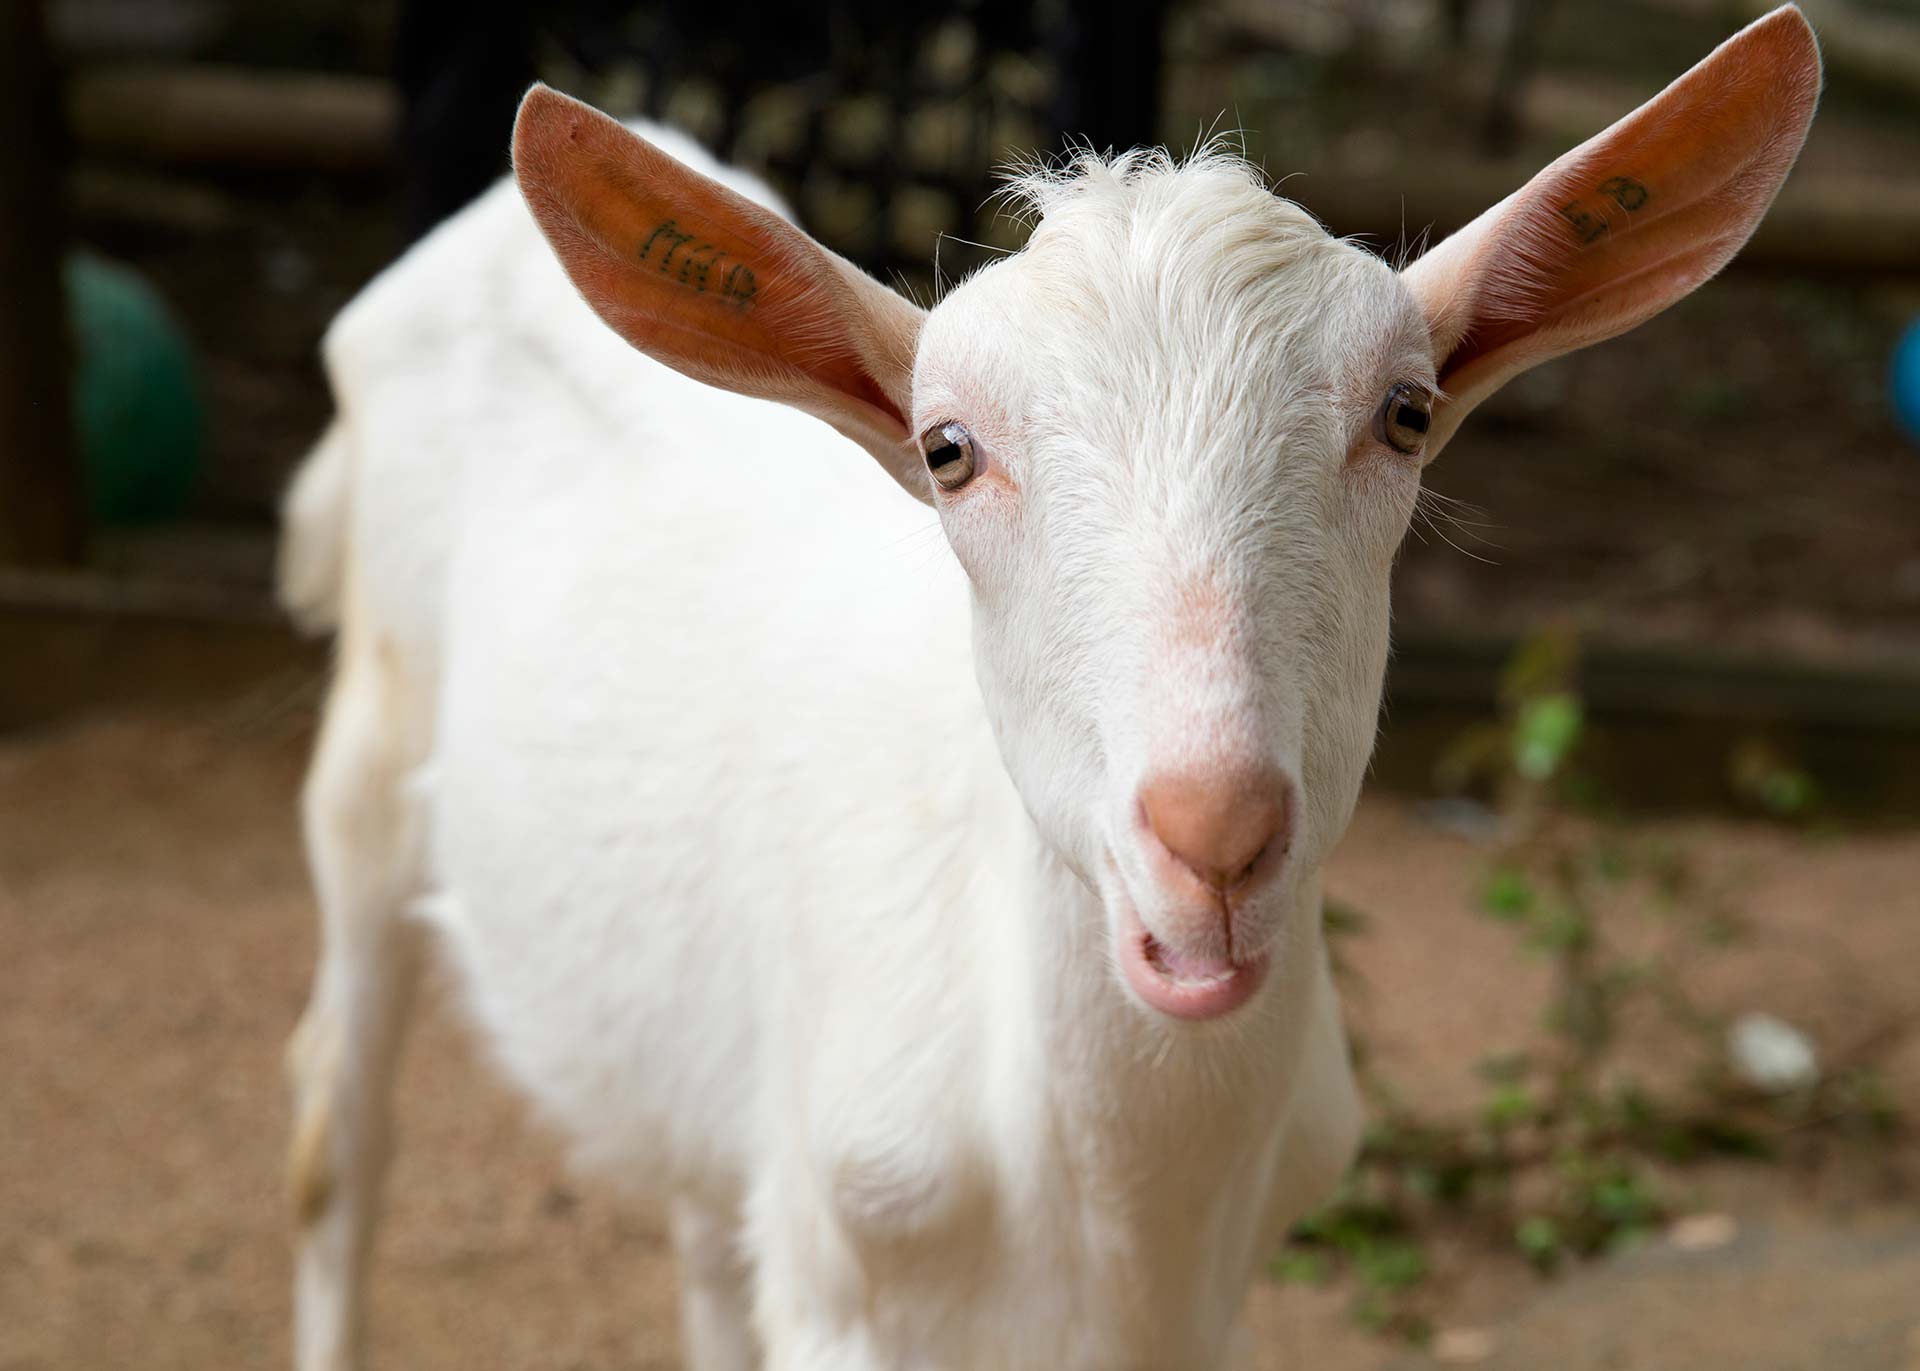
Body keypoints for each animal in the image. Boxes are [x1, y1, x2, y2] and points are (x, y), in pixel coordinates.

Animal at [282, 10, 1820, 1368]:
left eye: (1408, 413)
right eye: (947, 448)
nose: (1212, 833)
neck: (1116, 1227)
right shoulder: (849, 1284)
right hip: (368, 759)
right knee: (335, 1135)